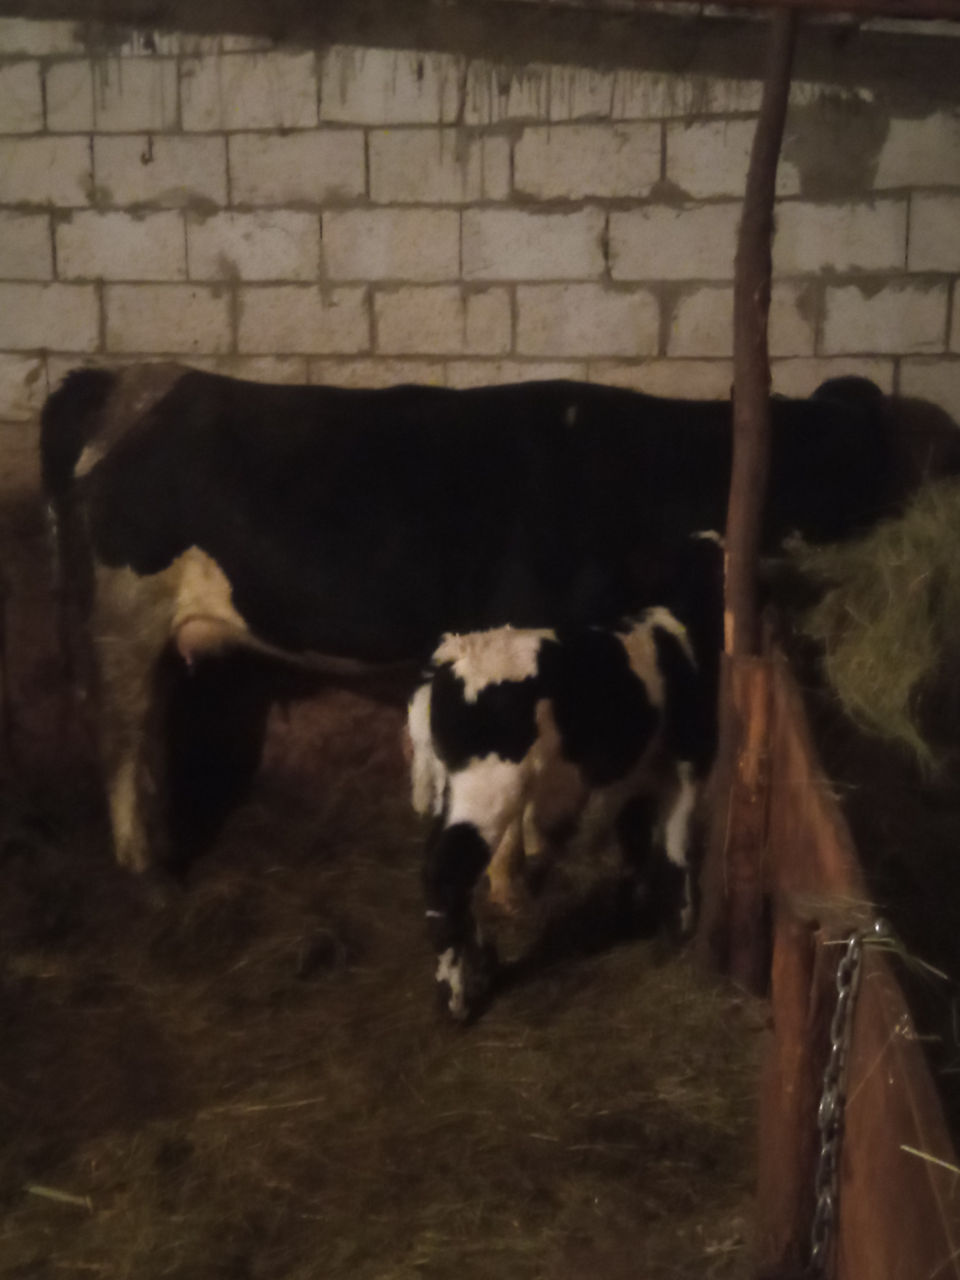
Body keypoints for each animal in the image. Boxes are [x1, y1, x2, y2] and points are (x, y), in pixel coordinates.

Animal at [39, 362, 916, 877]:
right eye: (851, 459)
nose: (911, 508)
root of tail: (128, 378)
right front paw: (515, 864)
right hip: (123, 617)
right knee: (122, 736)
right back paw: (145, 866)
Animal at [407, 532, 723, 1020]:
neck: (673, 627)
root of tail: (451, 657)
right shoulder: (688, 763)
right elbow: (676, 843)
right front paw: (681, 926)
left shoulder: (633, 773)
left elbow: (635, 839)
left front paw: (630, 917)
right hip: (488, 788)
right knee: (446, 873)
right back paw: (457, 998)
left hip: (454, 788)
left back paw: (482, 964)